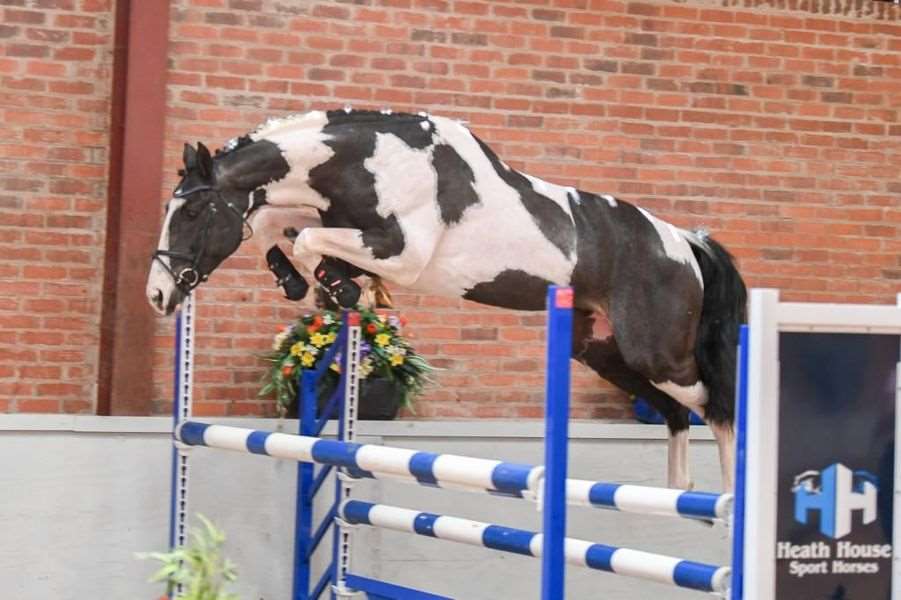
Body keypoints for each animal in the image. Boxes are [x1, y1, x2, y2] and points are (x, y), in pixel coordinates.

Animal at [146, 108, 747, 492]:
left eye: (193, 212)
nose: (158, 294)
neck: (371, 162)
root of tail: (684, 243)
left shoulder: (402, 252)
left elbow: (308, 237)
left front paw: (337, 284)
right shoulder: (335, 221)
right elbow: (279, 225)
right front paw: (316, 282)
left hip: (657, 352)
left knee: (718, 405)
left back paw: (727, 506)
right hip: (605, 351)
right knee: (676, 413)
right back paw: (678, 496)